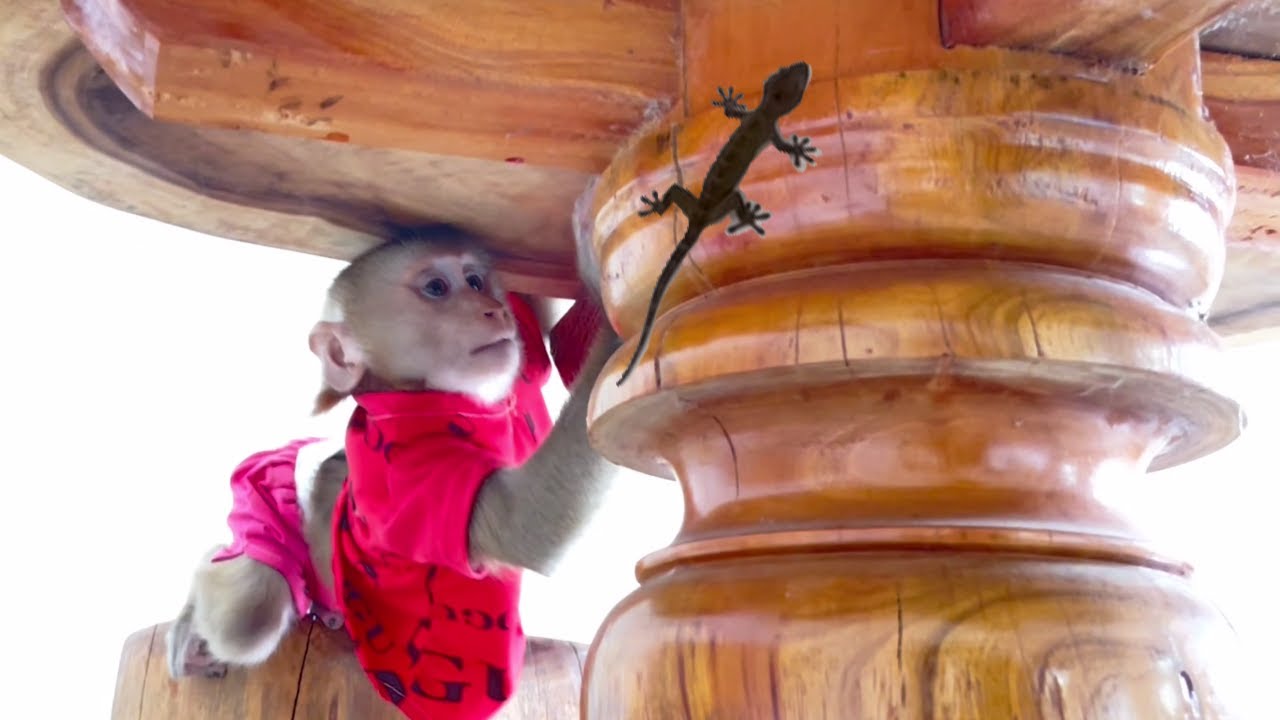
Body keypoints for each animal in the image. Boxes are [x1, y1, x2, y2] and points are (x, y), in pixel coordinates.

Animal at [166, 225, 619, 720]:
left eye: (476, 281)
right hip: (258, 506)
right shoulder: (409, 474)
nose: (495, 309)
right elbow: (525, 526)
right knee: (247, 619)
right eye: (437, 288)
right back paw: (196, 610)